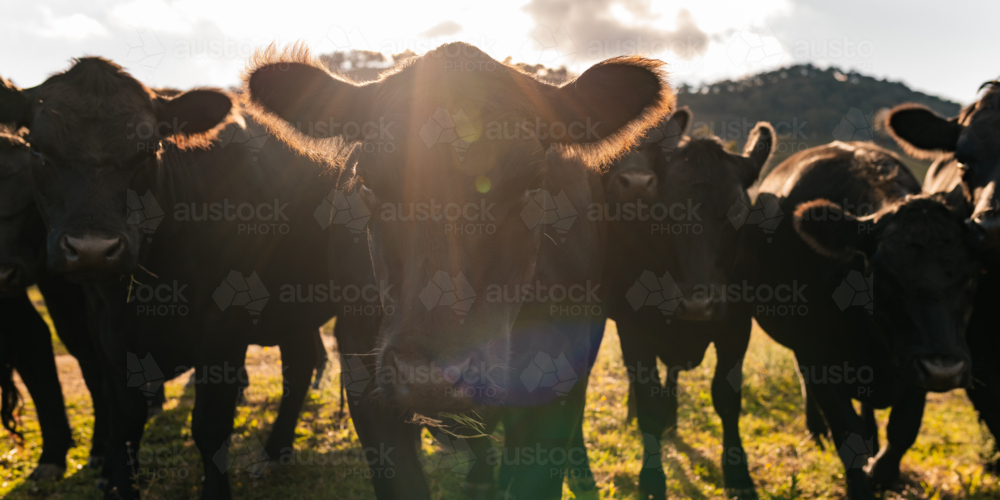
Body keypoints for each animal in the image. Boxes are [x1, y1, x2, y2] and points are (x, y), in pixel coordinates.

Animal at [745, 141, 981, 499]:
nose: (944, 369)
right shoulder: (818, 357)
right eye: (882, 276)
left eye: (970, 277)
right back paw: (816, 430)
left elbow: (903, 428)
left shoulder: (913, 363)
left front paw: (881, 472)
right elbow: (847, 434)